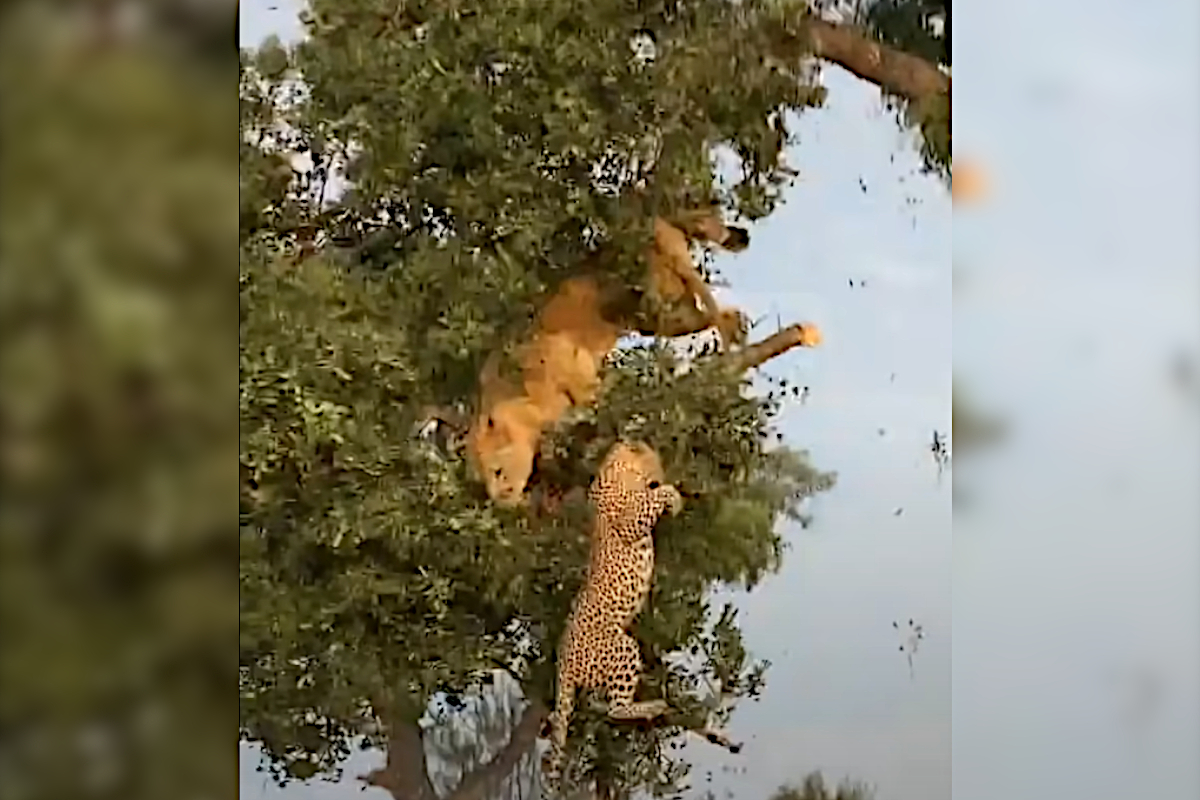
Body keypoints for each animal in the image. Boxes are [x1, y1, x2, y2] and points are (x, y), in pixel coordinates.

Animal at [542, 440, 684, 781]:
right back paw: (653, 706)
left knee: (598, 703)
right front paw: (671, 496)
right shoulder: (630, 522)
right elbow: (648, 505)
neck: (617, 468)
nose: (660, 475)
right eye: (656, 462)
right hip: (622, 646)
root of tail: (561, 660)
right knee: (614, 708)